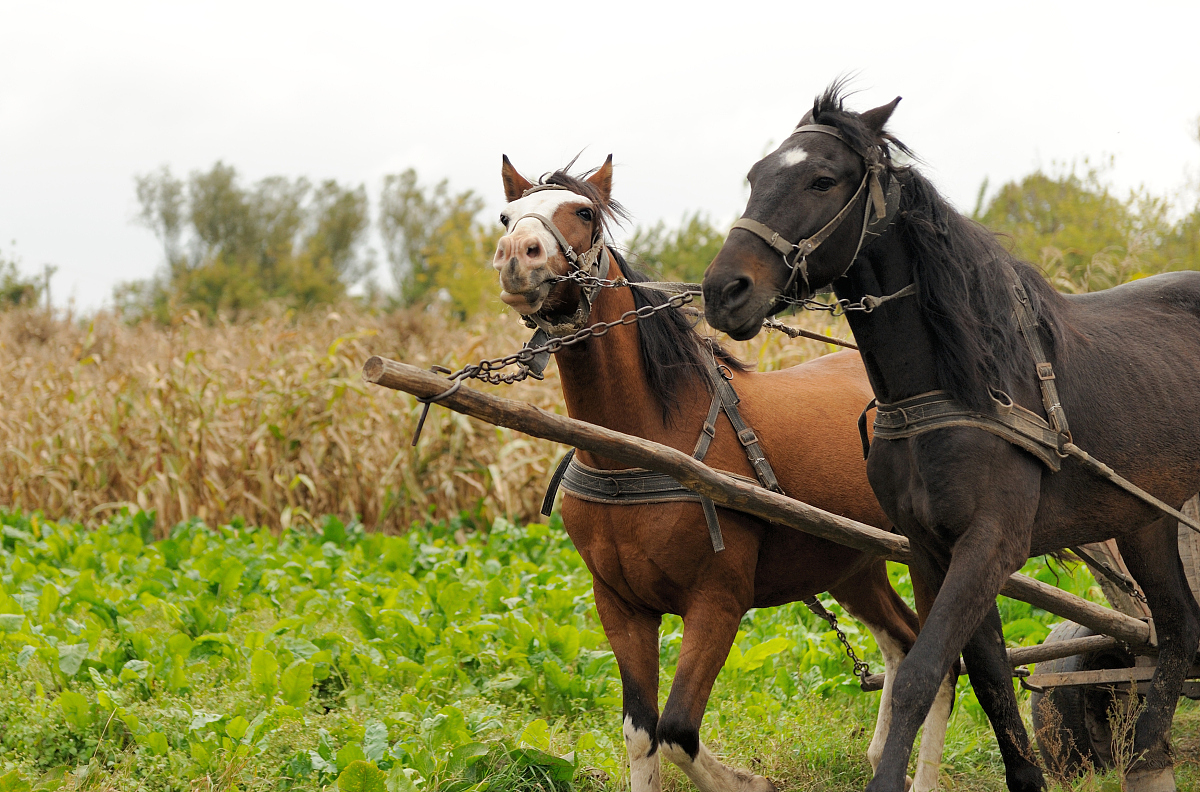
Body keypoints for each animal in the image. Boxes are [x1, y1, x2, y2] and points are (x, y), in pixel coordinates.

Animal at [493, 155, 955, 792]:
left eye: (583, 213)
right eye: (506, 215)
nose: (519, 254)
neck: (638, 449)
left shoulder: (718, 601)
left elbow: (677, 731)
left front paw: (748, 782)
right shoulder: (620, 606)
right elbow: (641, 734)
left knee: (941, 666)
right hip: (852, 565)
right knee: (904, 643)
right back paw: (881, 752)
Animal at [702, 82, 1200, 792]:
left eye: (823, 179)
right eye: (754, 176)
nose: (724, 291)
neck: (956, 386)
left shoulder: (989, 544)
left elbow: (921, 673)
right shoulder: (932, 548)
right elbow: (986, 674)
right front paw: (1027, 779)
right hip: (1144, 520)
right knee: (1178, 629)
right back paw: (1147, 753)